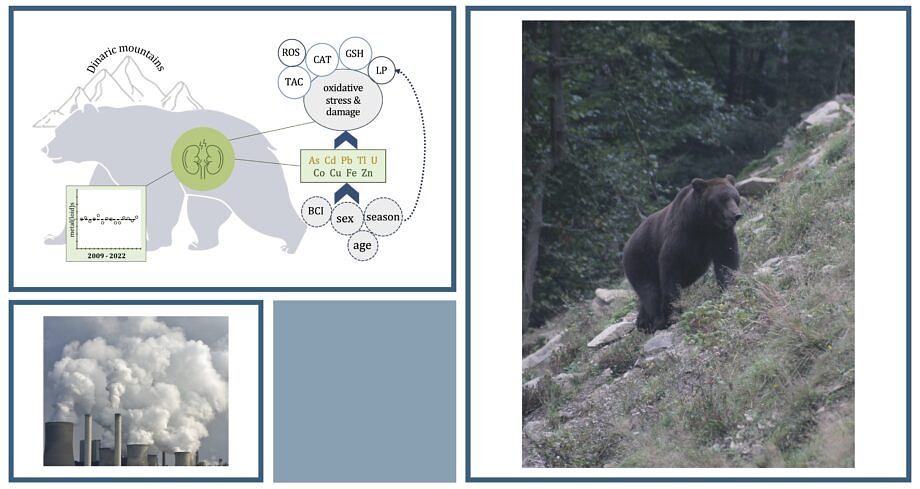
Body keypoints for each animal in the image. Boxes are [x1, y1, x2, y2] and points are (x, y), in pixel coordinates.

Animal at [42, 105, 306, 253]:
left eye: (61, 132)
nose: (46, 147)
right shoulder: (109, 169)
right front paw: (54, 238)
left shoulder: (149, 162)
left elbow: (163, 198)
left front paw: (154, 242)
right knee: (204, 213)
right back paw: (201, 244)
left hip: (247, 175)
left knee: (263, 209)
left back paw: (291, 242)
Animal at [623, 175, 742, 333]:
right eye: (723, 199)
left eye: (736, 197)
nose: (736, 215)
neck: (703, 224)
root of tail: (626, 245)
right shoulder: (681, 235)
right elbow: (671, 268)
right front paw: (674, 313)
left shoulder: (720, 235)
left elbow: (726, 260)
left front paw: (729, 286)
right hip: (640, 260)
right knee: (650, 291)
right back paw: (657, 320)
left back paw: (643, 323)